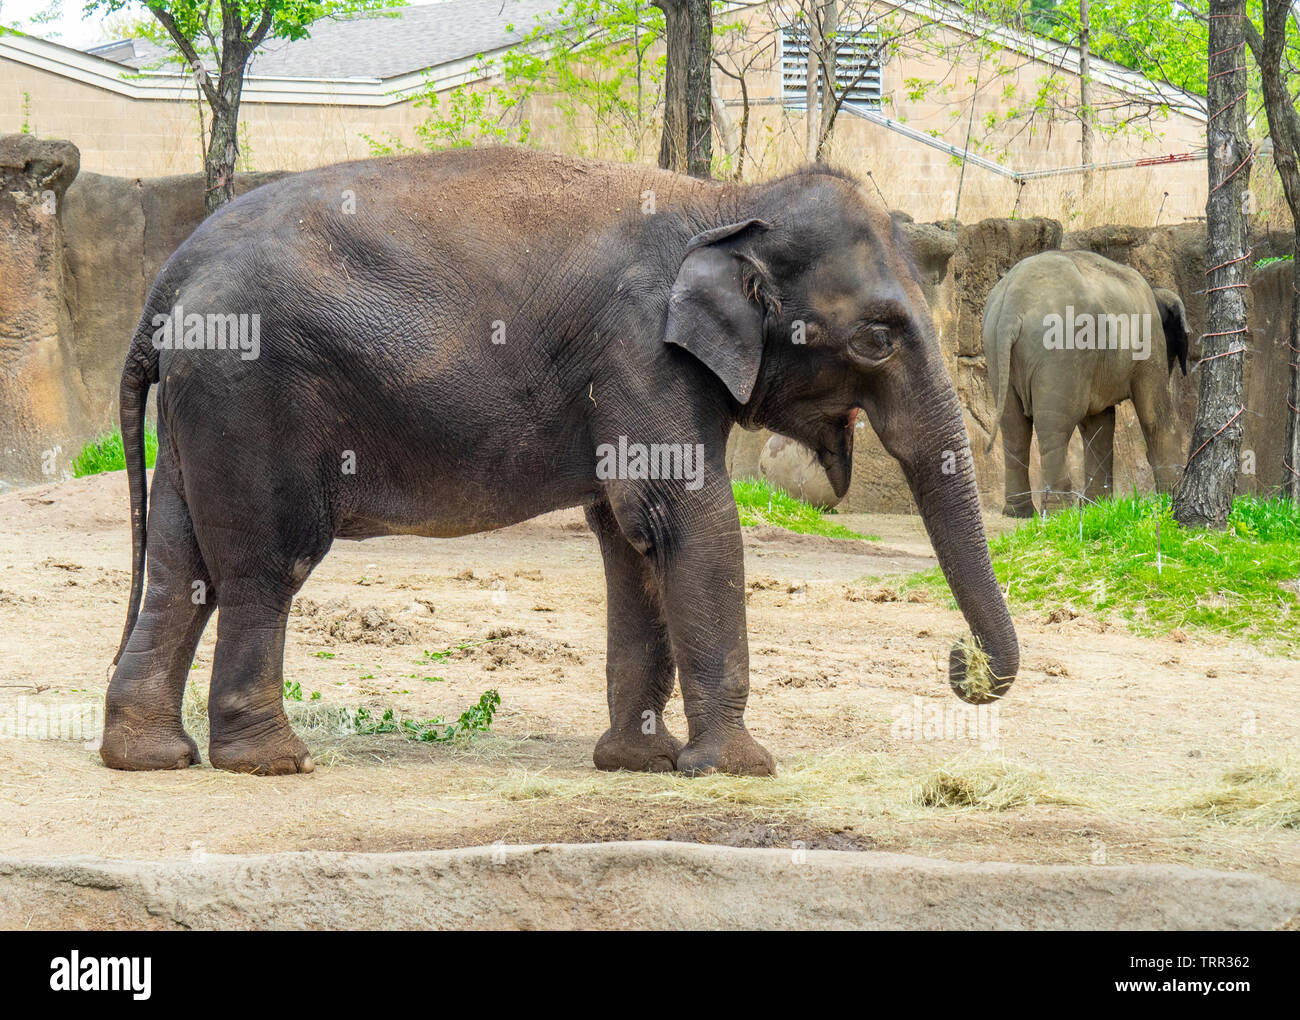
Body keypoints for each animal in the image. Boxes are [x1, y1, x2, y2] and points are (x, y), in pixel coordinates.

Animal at [101, 146, 1019, 778]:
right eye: (876, 339)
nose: (960, 664)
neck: (726, 202)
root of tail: (166, 281)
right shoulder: (641, 354)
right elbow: (686, 518)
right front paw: (738, 770)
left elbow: (629, 534)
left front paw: (638, 765)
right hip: (249, 392)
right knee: (264, 563)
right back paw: (272, 761)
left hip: (202, 405)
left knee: (182, 564)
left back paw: (150, 757)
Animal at [983, 250, 1191, 516]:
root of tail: (1012, 305)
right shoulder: (1150, 342)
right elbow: (1155, 415)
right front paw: (1169, 500)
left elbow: (1099, 424)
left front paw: (1098, 508)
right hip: (1059, 354)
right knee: (1055, 428)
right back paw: (1059, 513)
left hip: (996, 353)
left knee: (1014, 427)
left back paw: (1019, 512)